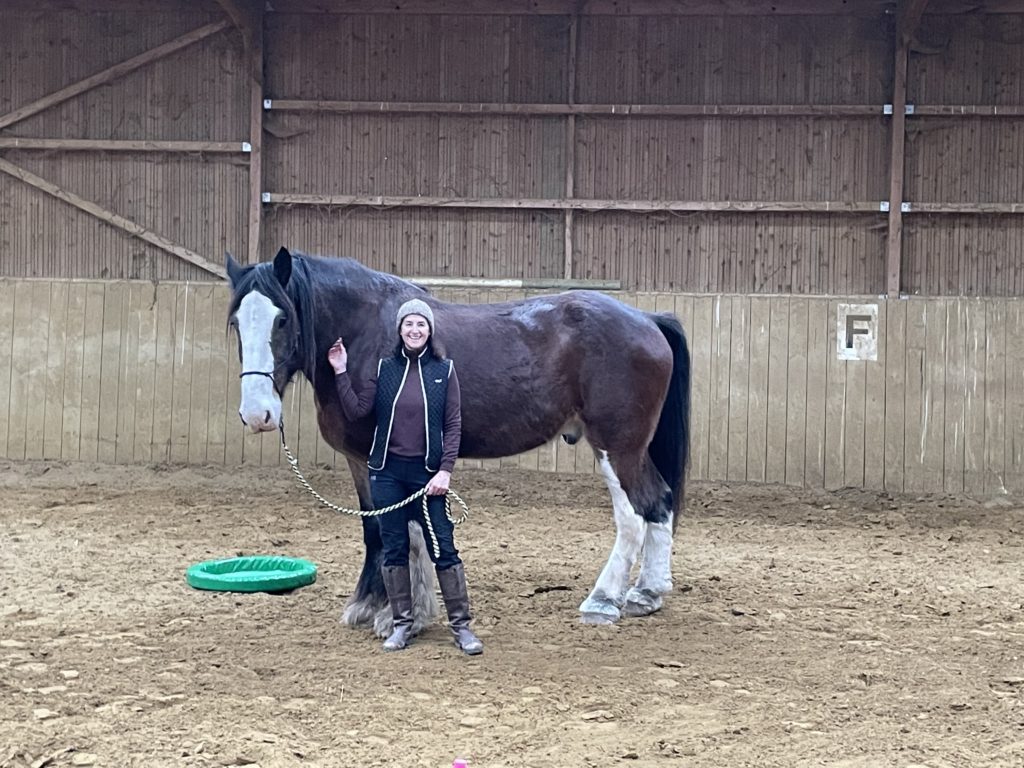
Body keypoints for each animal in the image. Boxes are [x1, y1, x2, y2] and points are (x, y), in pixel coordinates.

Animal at [225, 247, 691, 634]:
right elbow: (376, 529)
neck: (369, 336)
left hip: (618, 447)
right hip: (632, 450)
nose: (257, 414)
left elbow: (405, 530)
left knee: (632, 515)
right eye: (235, 323)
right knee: (659, 502)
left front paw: (405, 616)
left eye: (282, 318)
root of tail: (648, 321)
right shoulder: (364, 461)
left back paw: (603, 601)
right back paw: (647, 594)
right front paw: (368, 605)